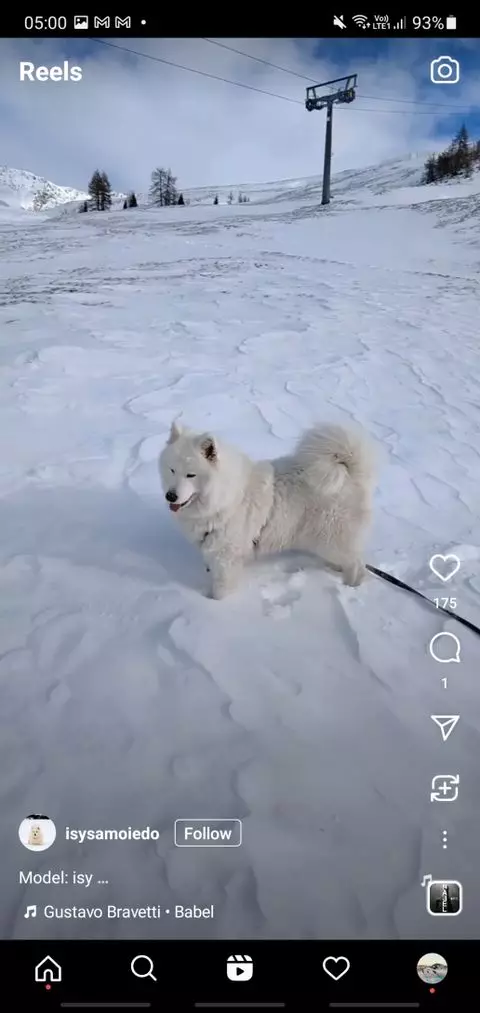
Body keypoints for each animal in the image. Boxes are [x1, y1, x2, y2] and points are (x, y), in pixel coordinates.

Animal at [158, 421, 376, 595]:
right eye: (172, 470)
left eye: (191, 475)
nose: (170, 496)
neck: (226, 500)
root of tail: (350, 471)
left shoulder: (226, 558)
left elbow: (221, 590)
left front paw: (213, 605)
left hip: (330, 538)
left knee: (357, 564)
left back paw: (351, 586)